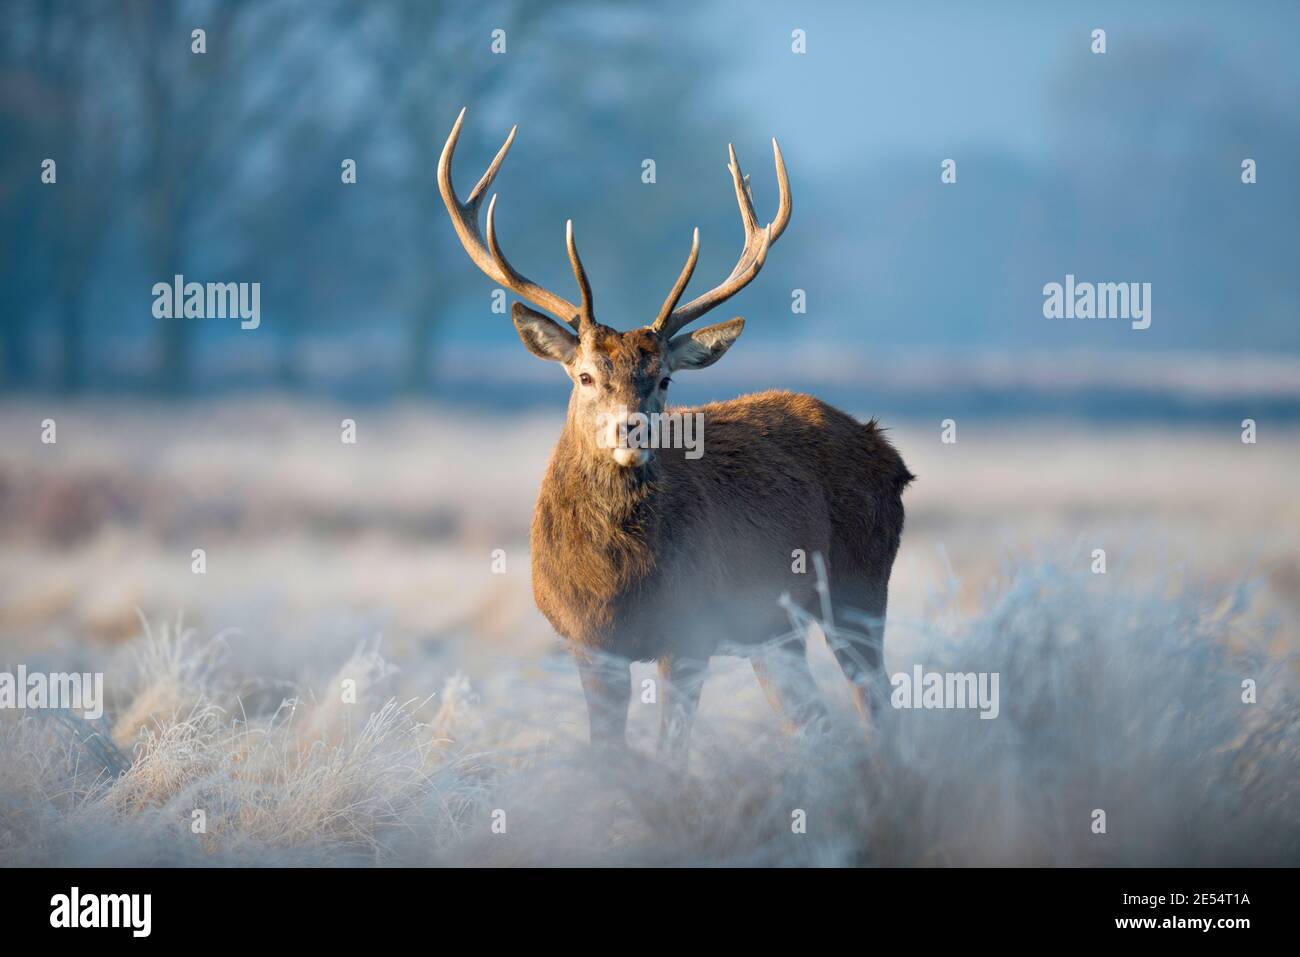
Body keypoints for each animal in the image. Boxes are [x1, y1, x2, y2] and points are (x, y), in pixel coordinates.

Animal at [438, 108, 913, 759]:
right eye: (586, 375)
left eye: (663, 378)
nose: (631, 427)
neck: (613, 584)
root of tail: (891, 457)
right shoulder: (587, 644)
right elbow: (607, 758)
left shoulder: (691, 634)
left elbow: (670, 757)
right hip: (777, 631)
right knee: (814, 718)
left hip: (859, 588)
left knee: (879, 707)